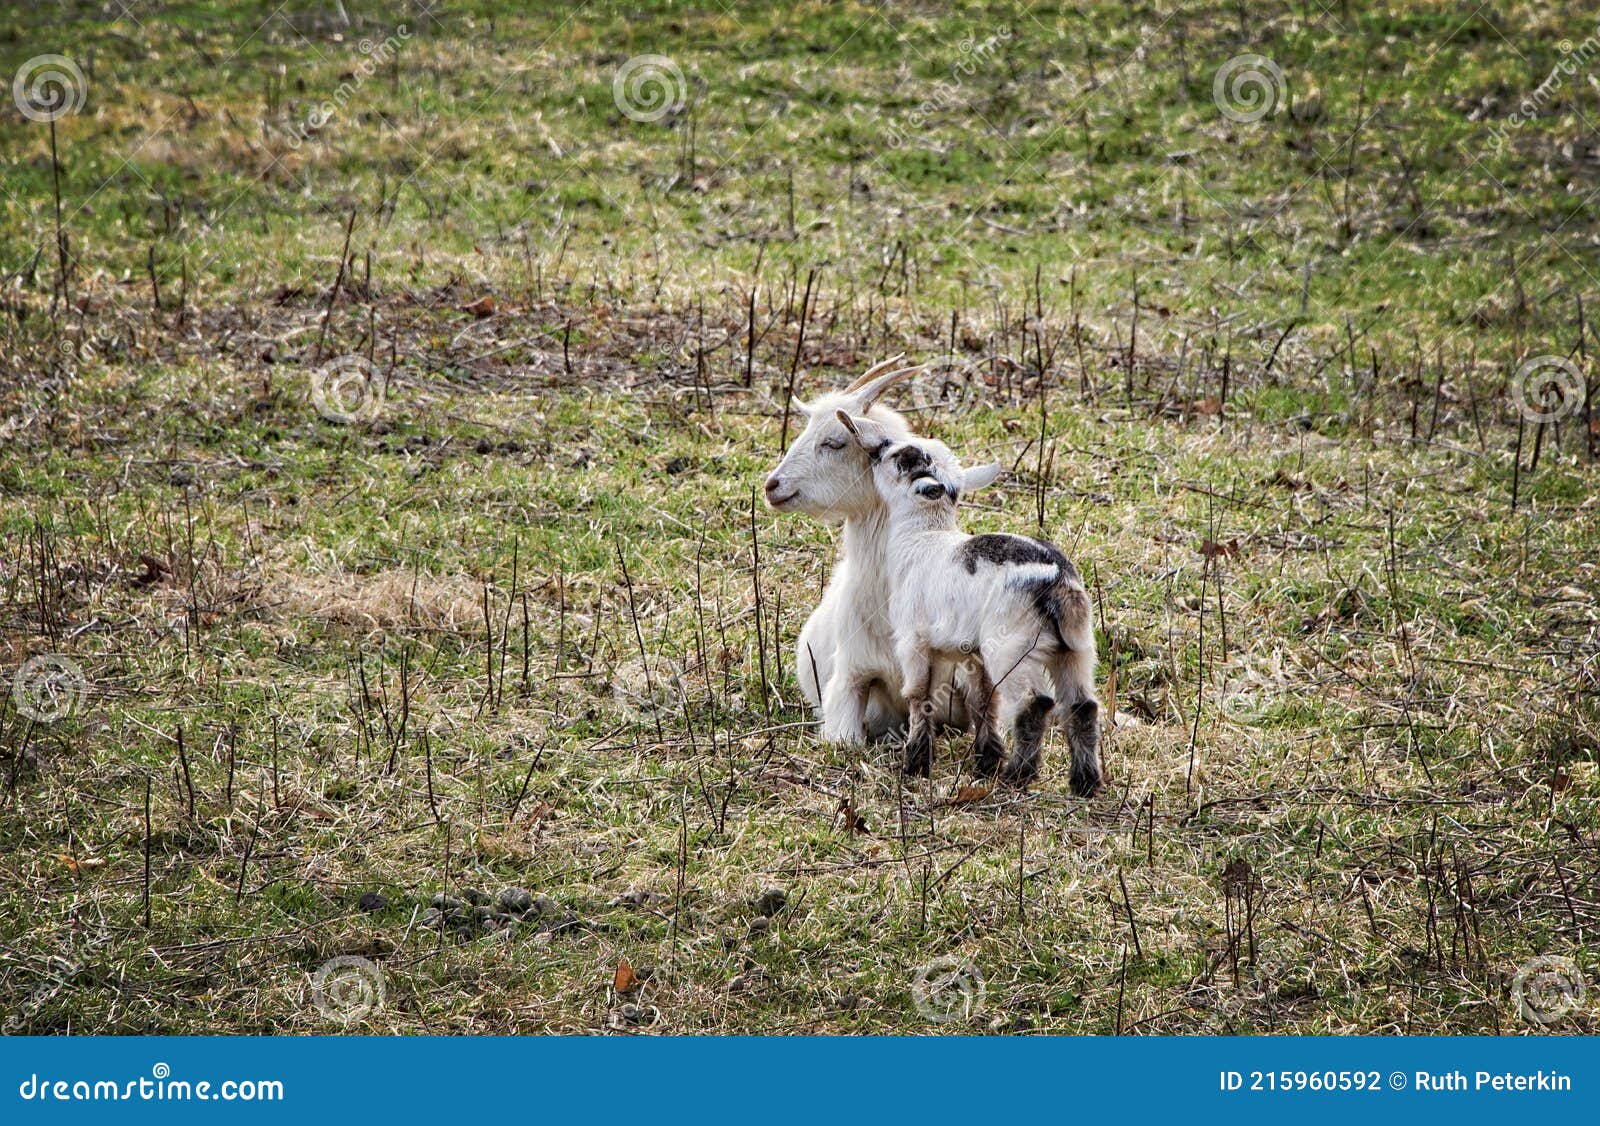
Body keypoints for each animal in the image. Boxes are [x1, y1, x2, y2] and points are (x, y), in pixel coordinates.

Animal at [836, 411, 1102, 795]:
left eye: (901, 459)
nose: (877, 450)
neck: (925, 537)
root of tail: (1057, 583)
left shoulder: (913, 641)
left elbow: (919, 696)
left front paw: (916, 765)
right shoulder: (971, 652)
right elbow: (983, 700)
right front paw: (985, 763)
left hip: (1014, 647)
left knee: (1035, 703)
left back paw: (1017, 775)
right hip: (1077, 649)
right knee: (1083, 706)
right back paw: (1085, 782)